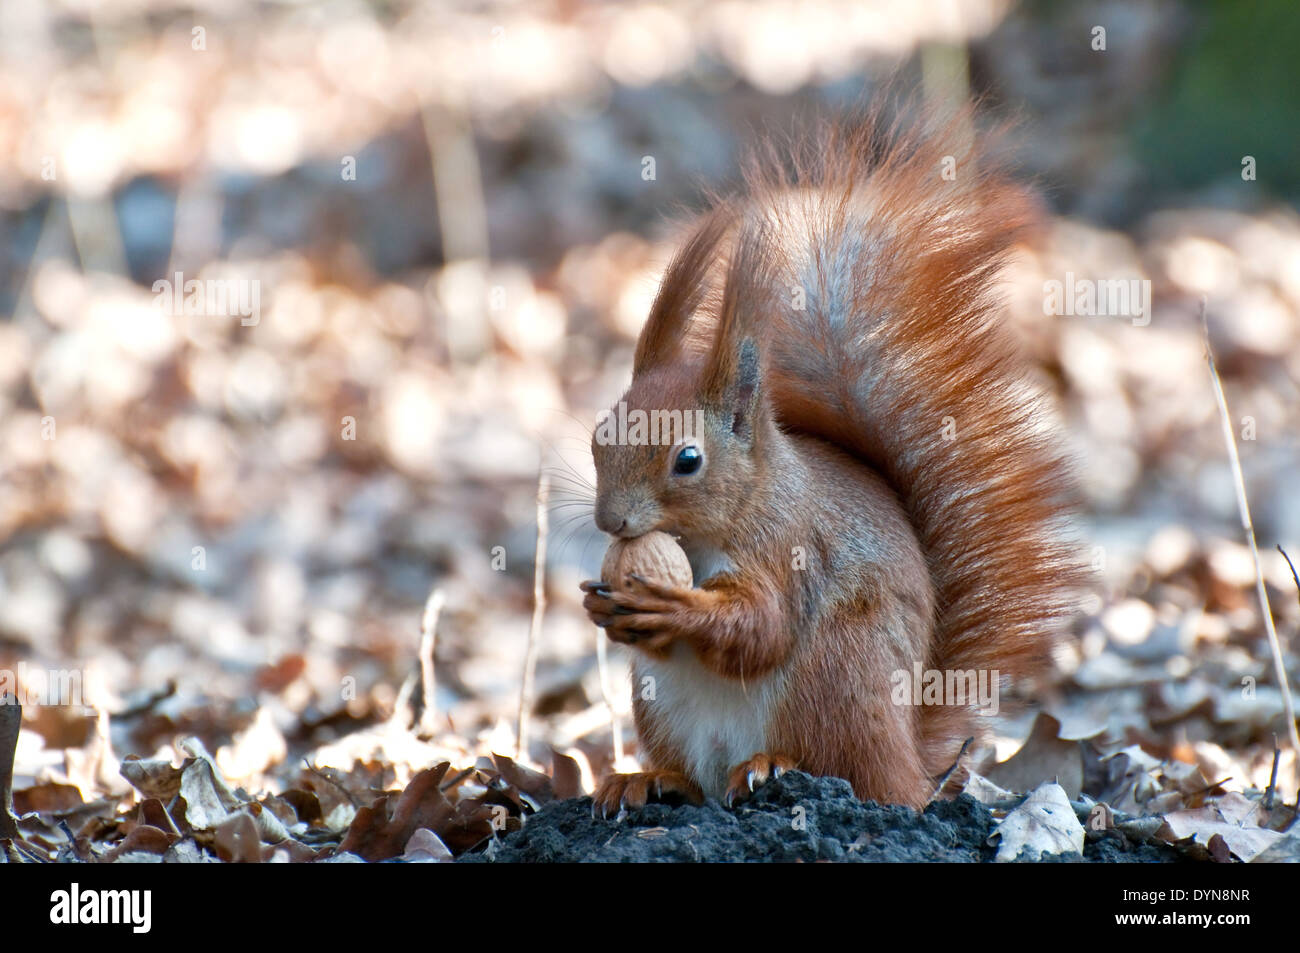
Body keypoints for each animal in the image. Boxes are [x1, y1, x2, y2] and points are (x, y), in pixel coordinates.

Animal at [580, 105, 1082, 815]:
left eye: (688, 459)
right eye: (599, 436)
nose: (611, 522)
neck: (737, 510)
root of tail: (910, 763)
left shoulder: (789, 550)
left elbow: (761, 628)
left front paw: (675, 610)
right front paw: (601, 609)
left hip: (837, 675)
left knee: (841, 766)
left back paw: (772, 765)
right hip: (662, 708)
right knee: (697, 780)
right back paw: (649, 778)